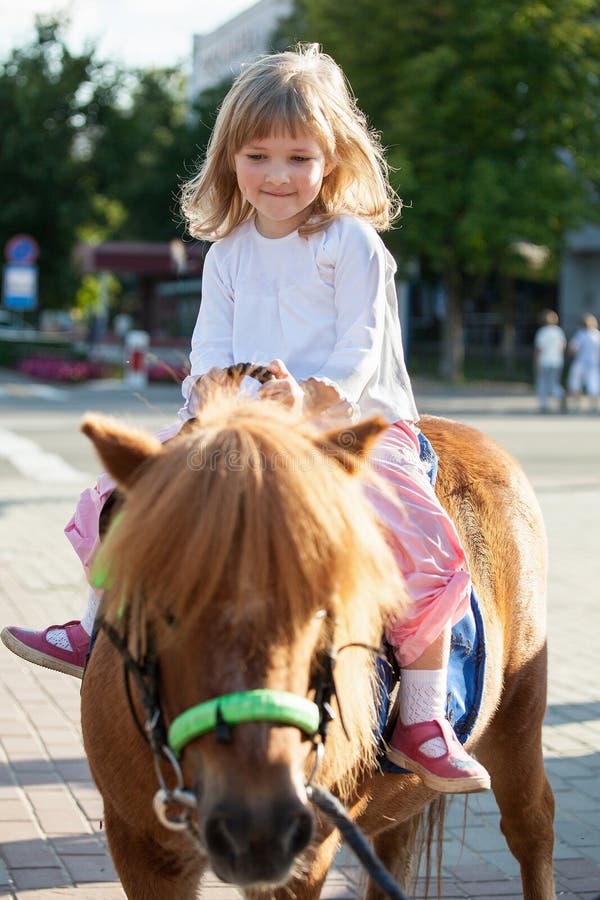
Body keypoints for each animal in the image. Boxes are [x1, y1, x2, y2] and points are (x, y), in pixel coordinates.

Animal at [80, 387, 555, 900]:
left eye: (325, 609)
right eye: (163, 606)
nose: (257, 825)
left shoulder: (305, 858)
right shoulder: (142, 851)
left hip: (520, 712)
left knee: (532, 823)